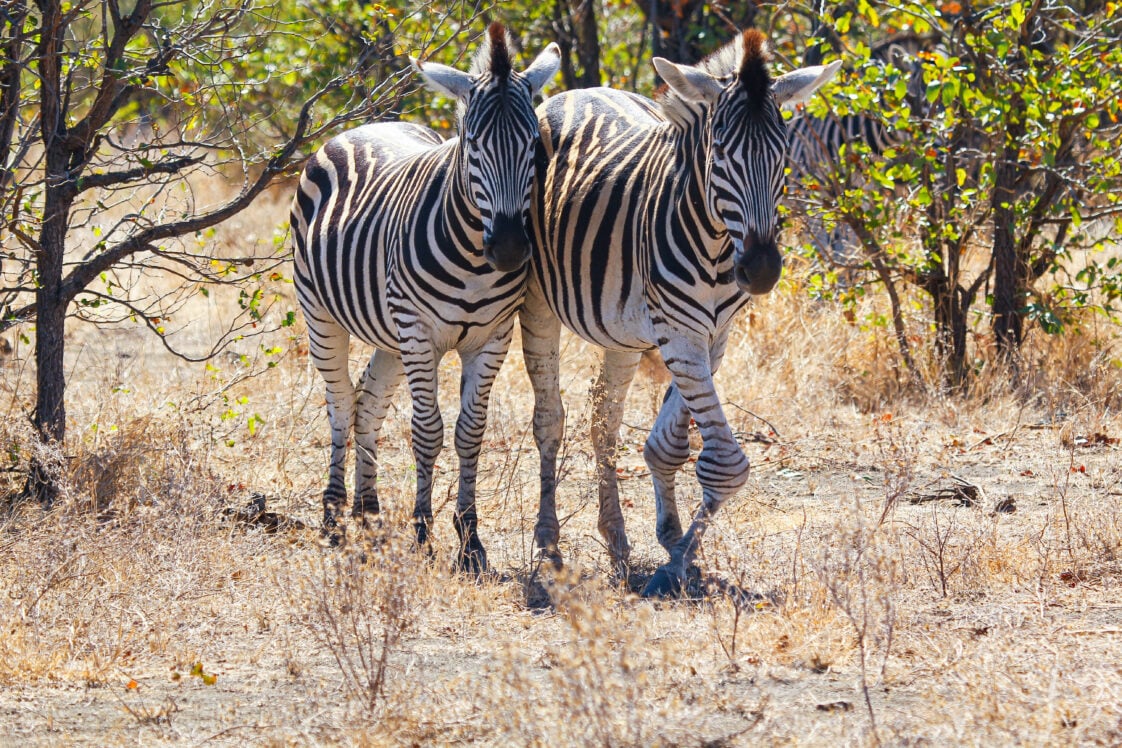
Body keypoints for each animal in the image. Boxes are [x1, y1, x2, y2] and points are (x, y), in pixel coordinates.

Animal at [291, 24, 560, 571]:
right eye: (472, 144)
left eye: (534, 145)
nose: (509, 248)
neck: (475, 259)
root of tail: (365, 126)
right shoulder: (419, 334)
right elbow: (427, 430)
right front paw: (422, 533)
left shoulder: (492, 338)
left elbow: (469, 431)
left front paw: (470, 540)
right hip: (322, 314)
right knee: (339, 402)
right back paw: (333, 514)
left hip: (389, 337)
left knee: (368, 403)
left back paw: (368, 512)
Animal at [521, 29, 840, 596]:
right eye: (721, 154)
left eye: (783, 155)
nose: (761, 271)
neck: (717, 246)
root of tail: (576, 91)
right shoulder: (680, 332)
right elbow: (726, 463)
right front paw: (674, 566)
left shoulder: (714, 336)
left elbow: (668, 448)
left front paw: (673, 543)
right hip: (539, 303)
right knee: (550, 419)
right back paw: (550, 544)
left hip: (621, 332)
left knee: (603, 416)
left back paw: (616, 539)